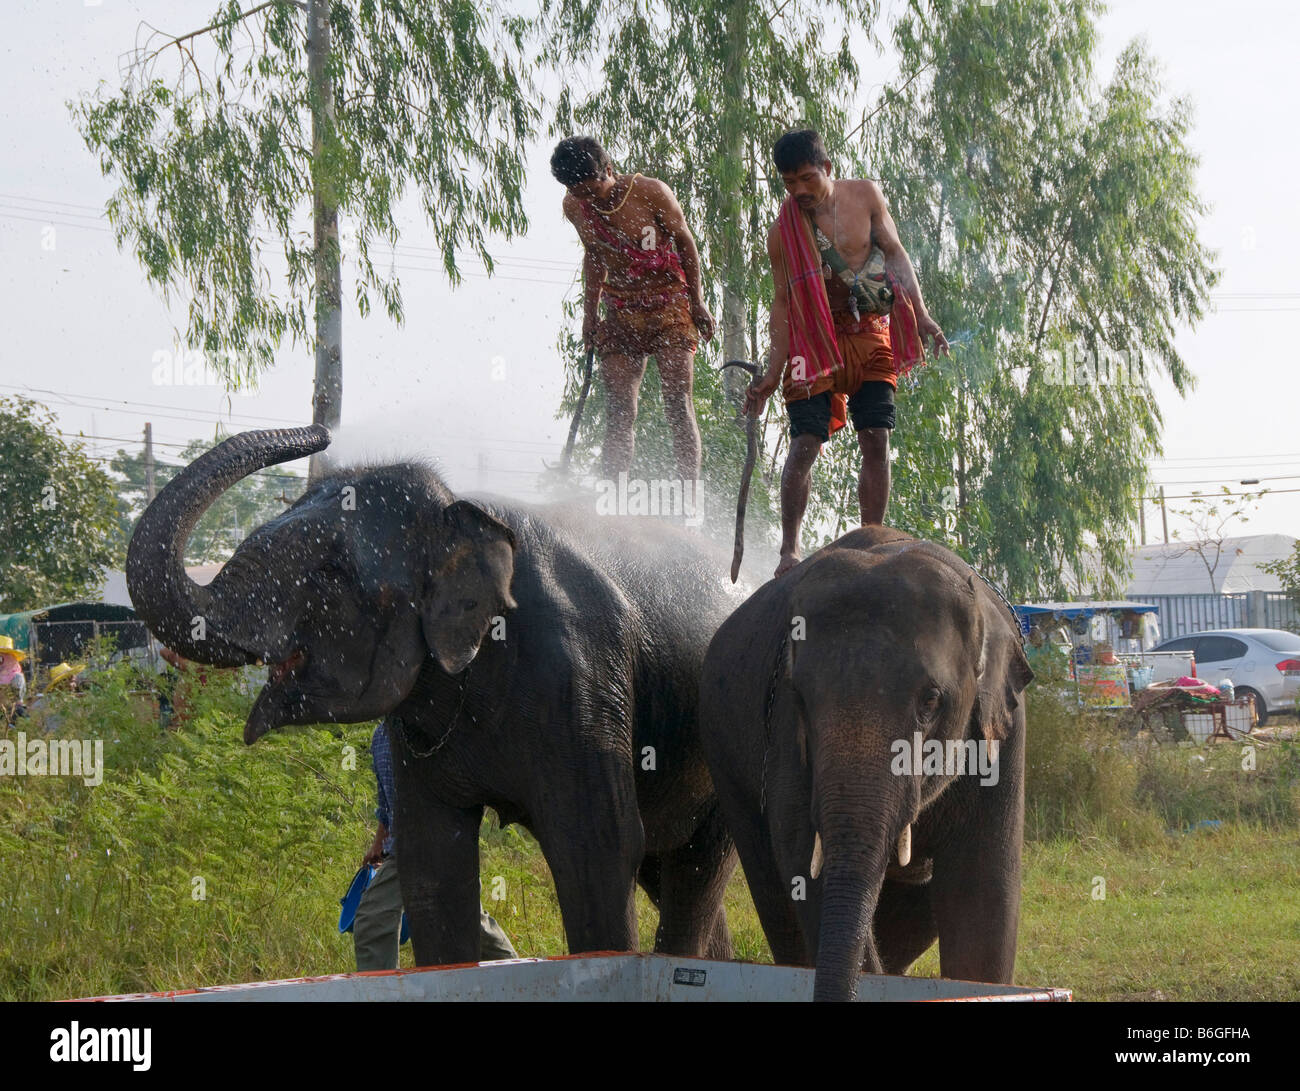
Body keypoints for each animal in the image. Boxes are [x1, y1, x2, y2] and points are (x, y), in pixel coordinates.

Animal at [126, 425, 742, 965]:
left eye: (331, 574)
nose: (321, 433)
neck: (460, 512)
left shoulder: (583, 678)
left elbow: (596, 846)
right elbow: (431, 862)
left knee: (694, 870)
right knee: (670, 869)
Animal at [699, 525, 1034, 1001]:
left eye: (930, 701)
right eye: (800, 698)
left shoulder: (1003, 737)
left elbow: (983, 891)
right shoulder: (784, 735)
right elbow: (805, 866)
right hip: (723, 753)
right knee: (773, 889)